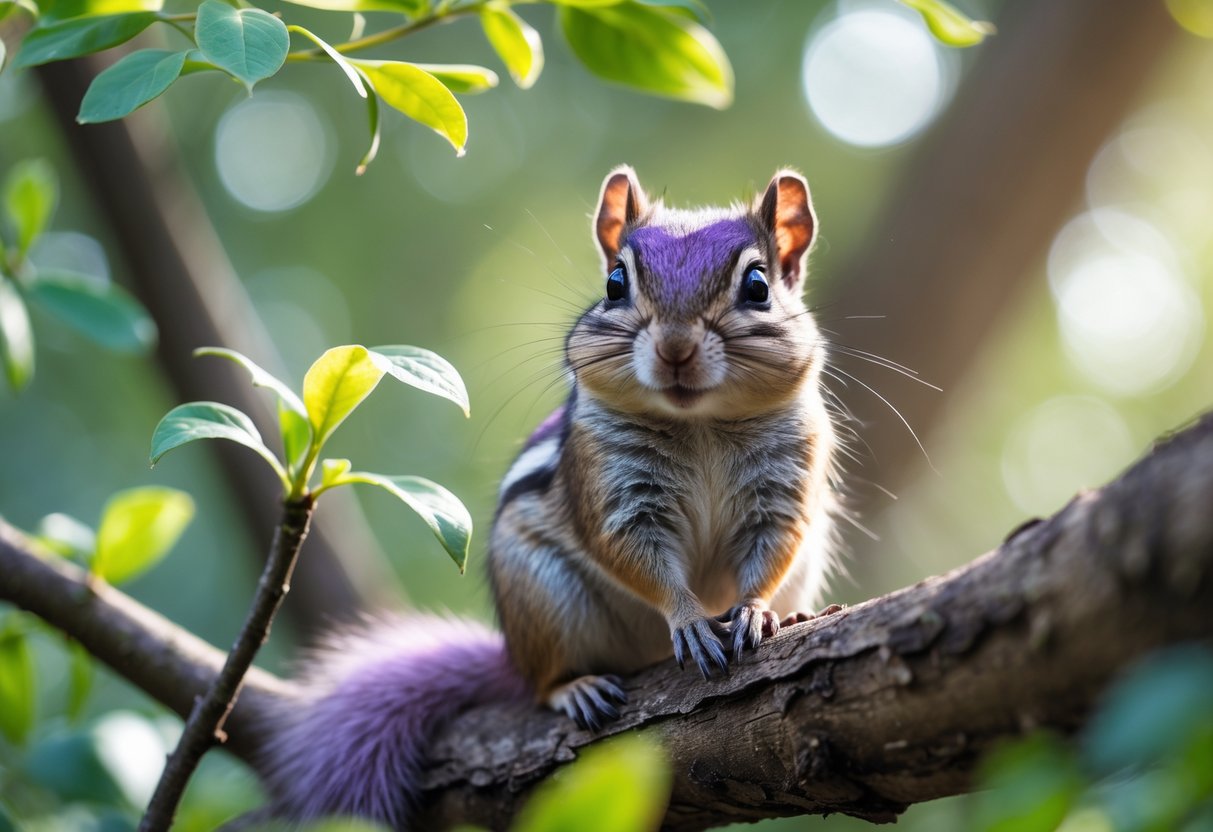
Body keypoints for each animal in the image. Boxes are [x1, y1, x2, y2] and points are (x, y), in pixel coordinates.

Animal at [260, 166, 840, 829]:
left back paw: (794, 614)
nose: (674, 348)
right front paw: (690, 620)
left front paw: (753, 609)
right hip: (543, 597)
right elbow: (632, 554)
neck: (702, 424)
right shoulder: (611, 490)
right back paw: (574, 687)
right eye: (615, 283)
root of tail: (512, 655)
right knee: (541, 684)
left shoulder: (785, 486)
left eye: (758, 285)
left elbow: (774, 548)